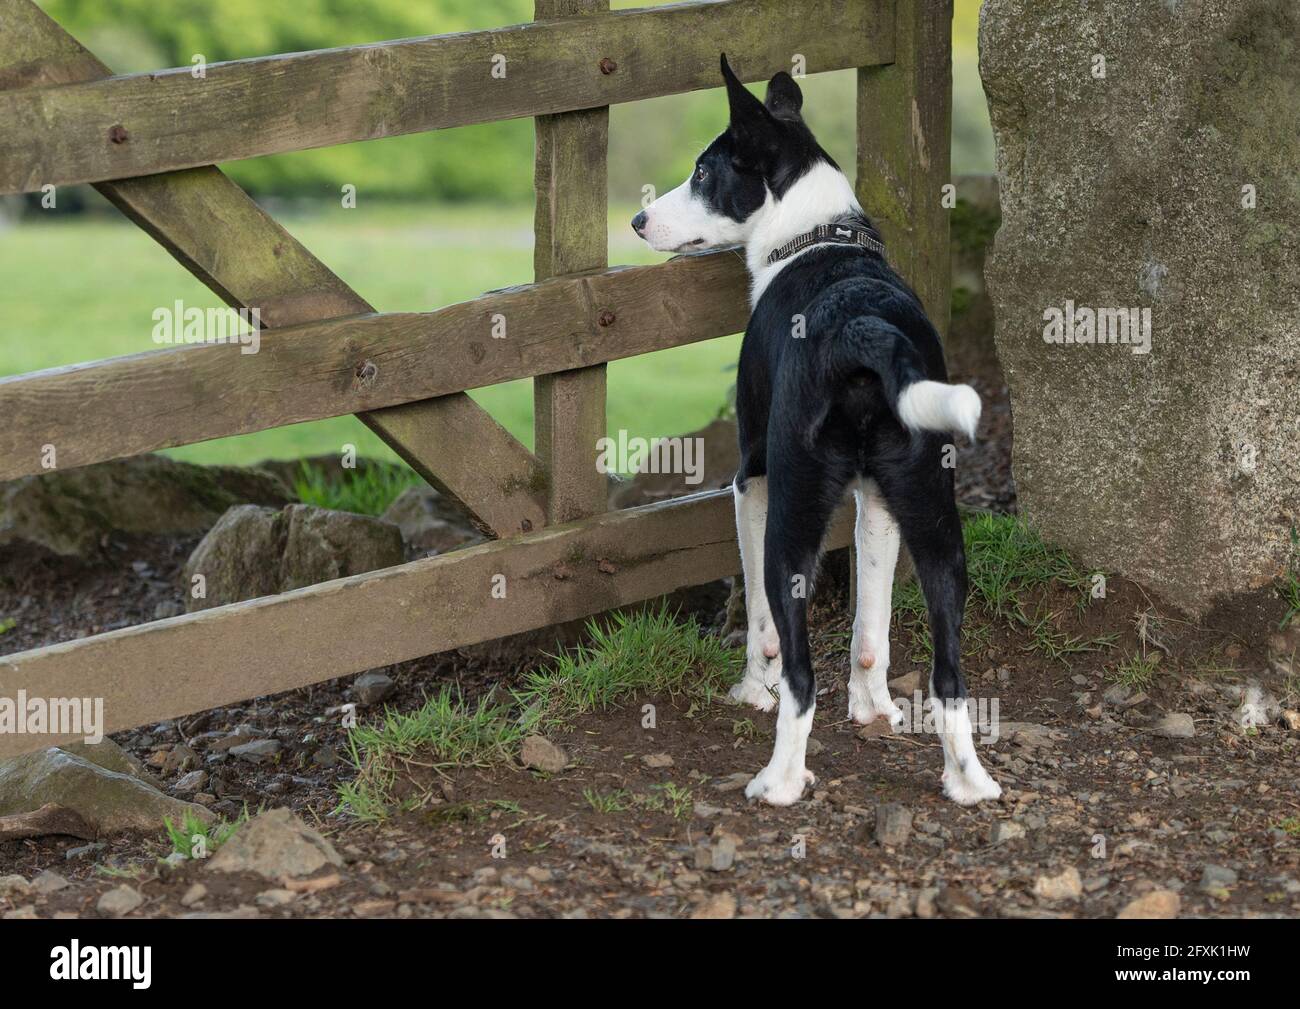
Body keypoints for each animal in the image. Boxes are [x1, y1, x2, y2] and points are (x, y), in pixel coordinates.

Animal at [634, 57, 998, 811]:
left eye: (704, 172)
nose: (636, 219)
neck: (820, 236)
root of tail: (865, 329)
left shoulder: (751, 481)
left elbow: (760, 625)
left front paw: (753, 688)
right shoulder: (878, 501)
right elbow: (870, 625)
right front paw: (873, 708)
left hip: (793, 516)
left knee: (802, 674)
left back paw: (779, 779)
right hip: (938, 523)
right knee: (950, 675)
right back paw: (968, 779)